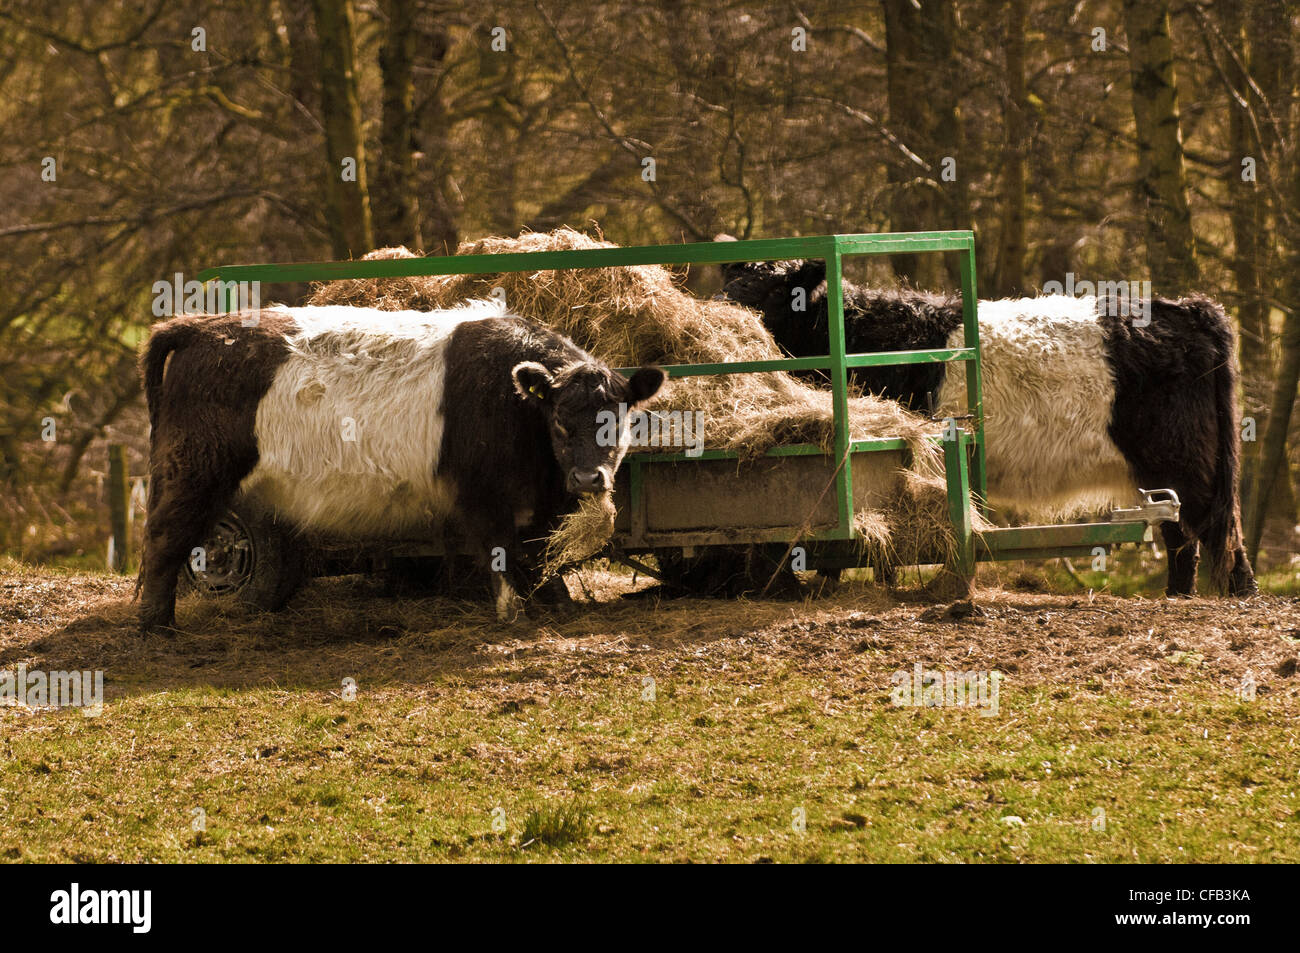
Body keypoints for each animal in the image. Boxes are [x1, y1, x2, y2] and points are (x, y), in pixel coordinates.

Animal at [136, 299, 665, 631]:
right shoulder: (481, 496)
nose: (588, 477)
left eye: (617, 418)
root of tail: (199, 326)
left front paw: (556, 604)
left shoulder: (540, 500)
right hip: (194, 472)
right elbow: (505, 552)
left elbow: (538, 553)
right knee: (166, 539)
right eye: (558, 420)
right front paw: (517, 611)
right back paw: (156, 626)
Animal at [719, 255, 1256, 598]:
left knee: (1208, 530)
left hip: (1186, 465)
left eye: (779, 293)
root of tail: (1187, 308)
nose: (732, 318)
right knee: (1187, 537)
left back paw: (1238, 594)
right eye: (727, 289)